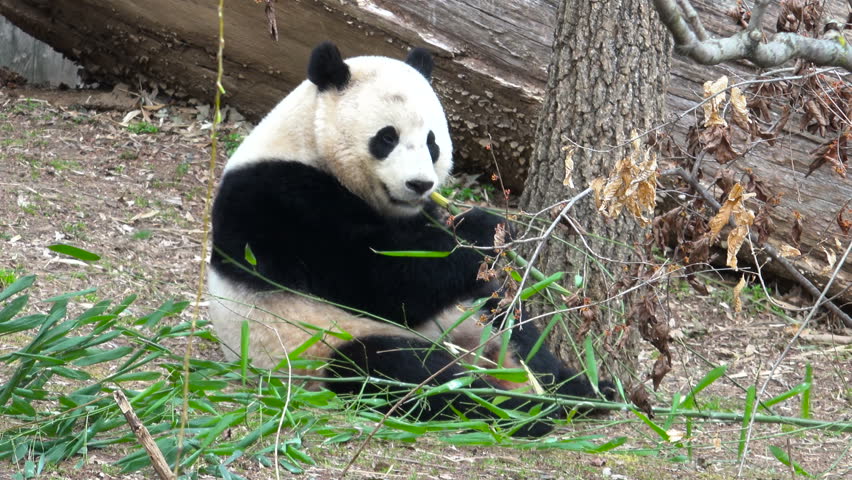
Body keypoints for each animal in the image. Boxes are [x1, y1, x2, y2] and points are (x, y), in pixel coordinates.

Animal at [208, 42, 613, 437]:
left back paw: (583, 391)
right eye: (387, 137)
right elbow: (382, 285)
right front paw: (484, 228)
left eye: (432, 142)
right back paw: (519, 410)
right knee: (400, 372)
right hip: (314, 345)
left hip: (469, 318)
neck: (305, 142)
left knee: (515, 330)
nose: (420, 184)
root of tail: (468, 352)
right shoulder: (282, 203)